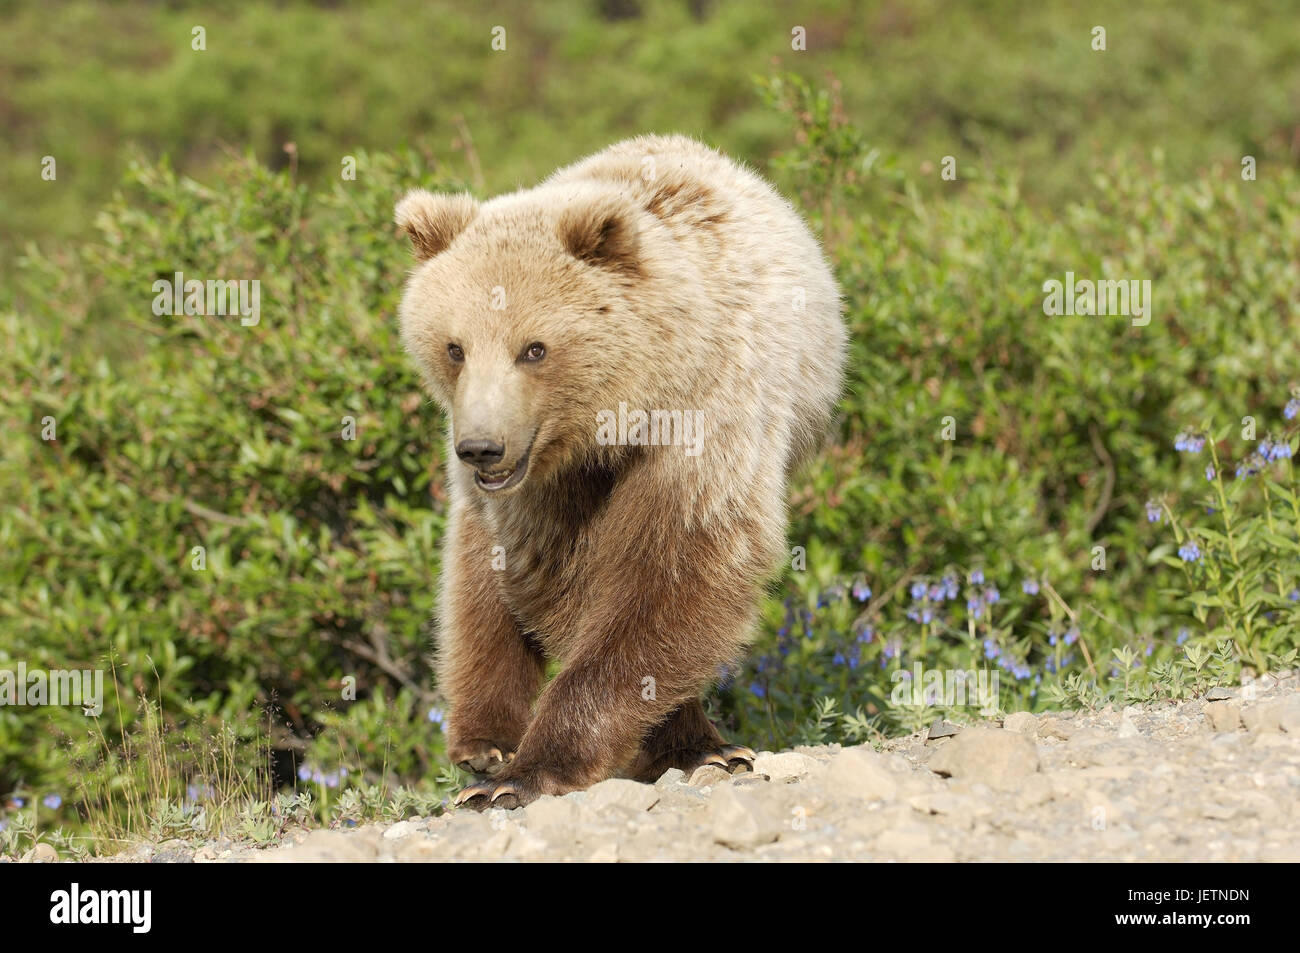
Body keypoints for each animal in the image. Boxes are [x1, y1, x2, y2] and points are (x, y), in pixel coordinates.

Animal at [394, 134, 846, 808]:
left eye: (534, 348)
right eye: (455, 347)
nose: (480, 448)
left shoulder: (704, 419)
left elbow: (679, 574)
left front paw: (533, 771)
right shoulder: (542, 488)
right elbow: (537, 576)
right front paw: (504, 760)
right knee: (473, 578)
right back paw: (485, 739)